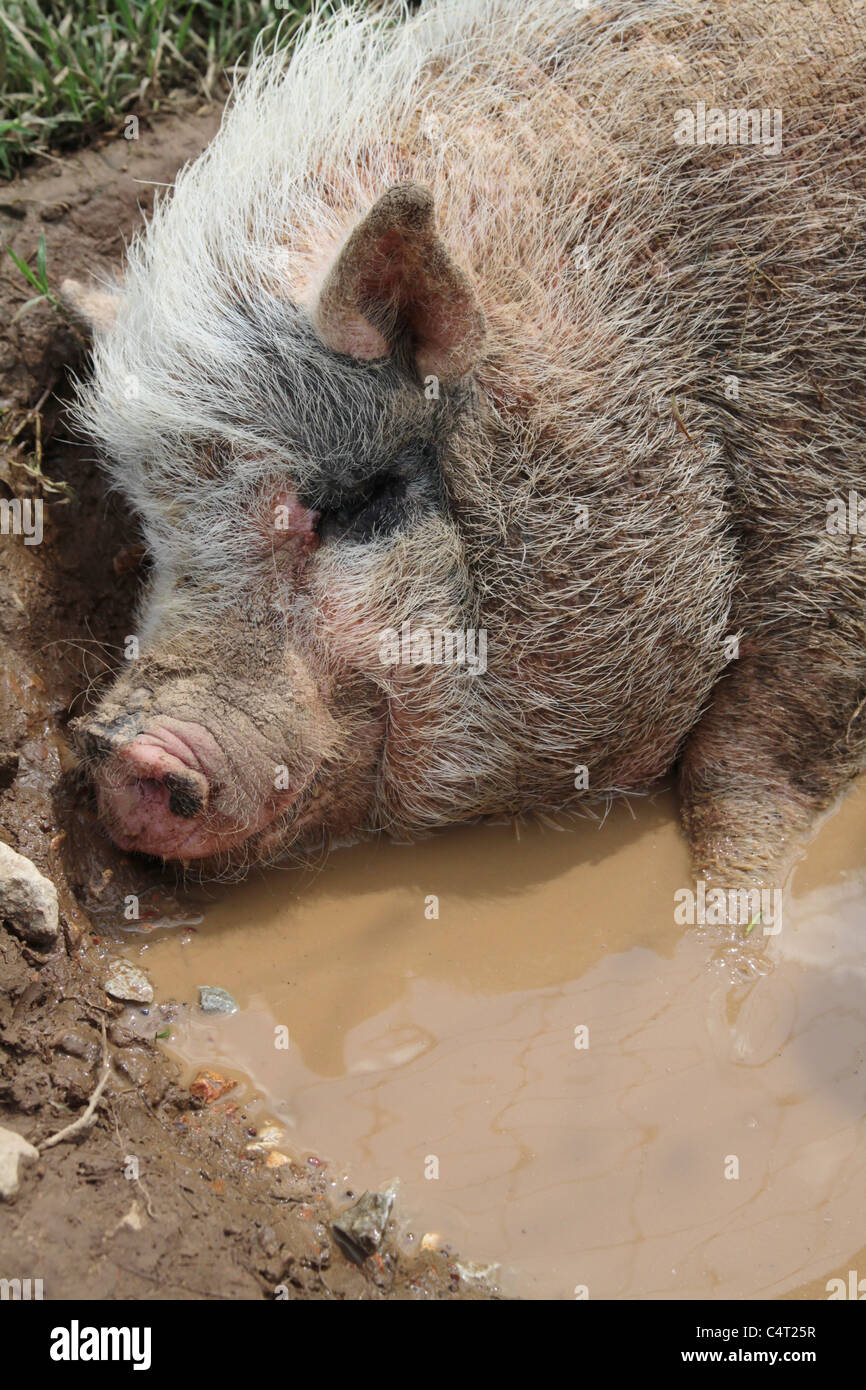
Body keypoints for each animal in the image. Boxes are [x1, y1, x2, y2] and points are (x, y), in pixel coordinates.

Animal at [63, 0, 866, 897]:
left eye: (358, 499)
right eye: (154, 536)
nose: (112, 745)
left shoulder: (830, 530)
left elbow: (746, 769)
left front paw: (733, 911)